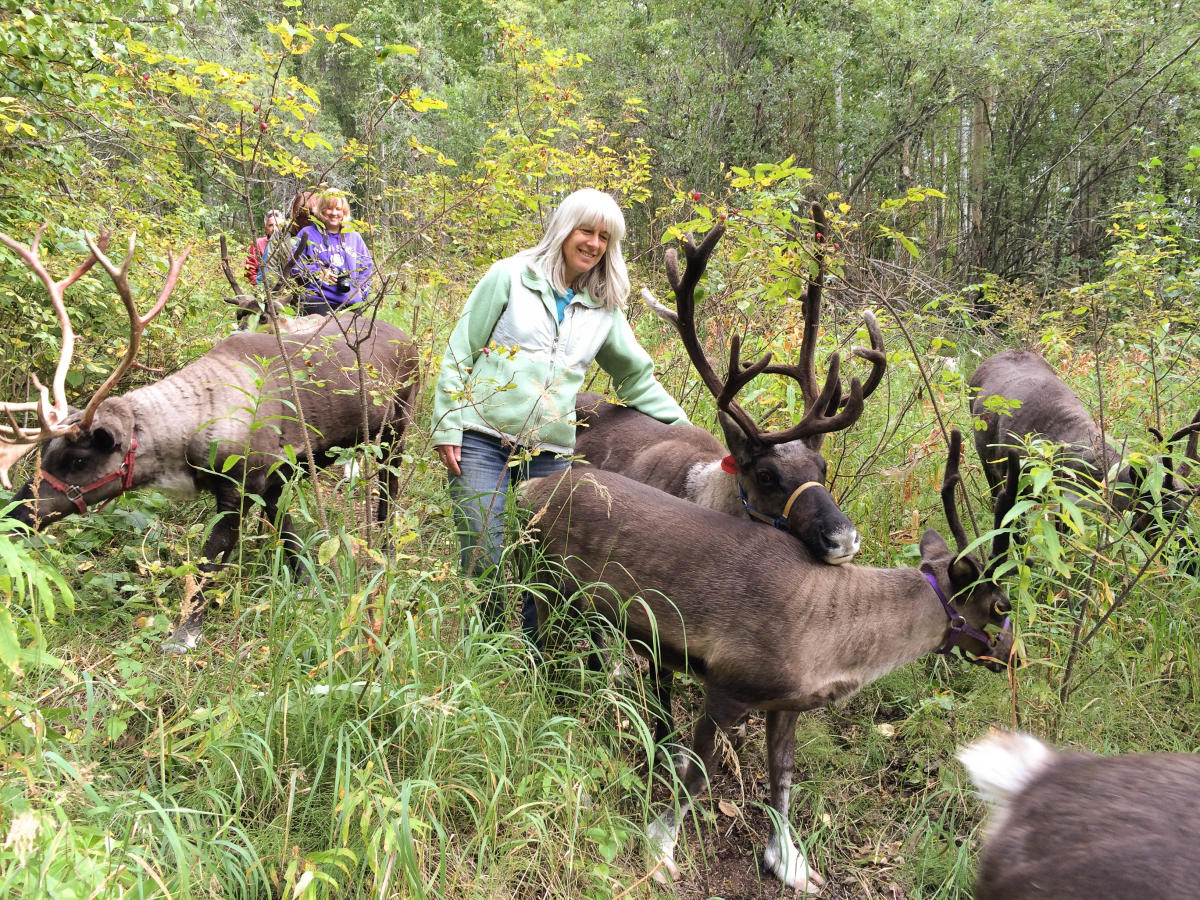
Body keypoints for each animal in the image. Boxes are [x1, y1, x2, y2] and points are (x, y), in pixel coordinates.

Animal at [0, 226, 419, 654]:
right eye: (45, 452)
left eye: (78, 460)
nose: (14, 517)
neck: (194, 425)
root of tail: (409, 339)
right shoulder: (275, 475)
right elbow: (286, 529)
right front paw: (304, 582)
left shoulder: (240, 485)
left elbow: (211, 558)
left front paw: (186, 631)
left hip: (398, 426)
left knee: (389, 485)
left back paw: (385, 546)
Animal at [520, 429, 1017, 892]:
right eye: (1001, 606)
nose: (1013, 656)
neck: (835, 636)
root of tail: (530, 490)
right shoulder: (727, 687)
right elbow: (697, 778)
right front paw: (660, 849)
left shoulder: (786, 705)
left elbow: (783, 779)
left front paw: (789, 861)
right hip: (546, 583)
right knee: (539, 655)